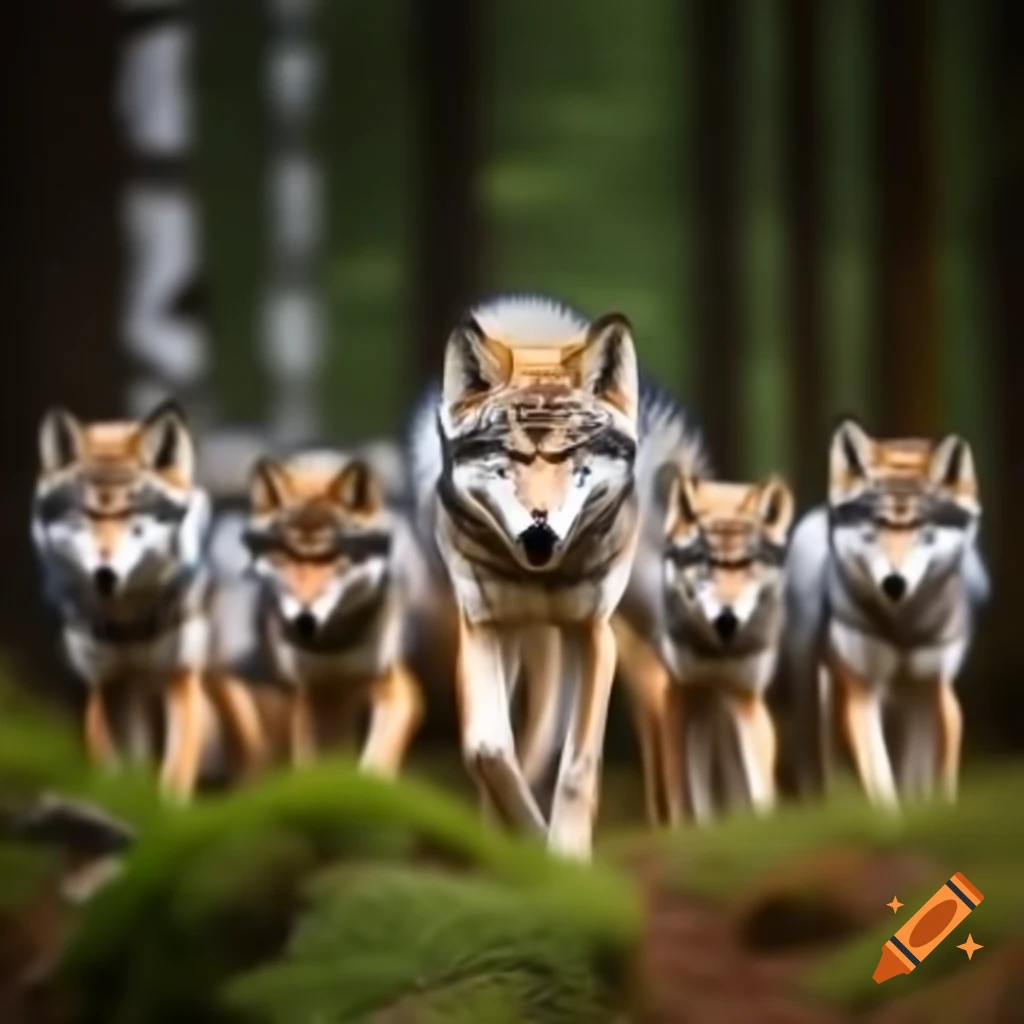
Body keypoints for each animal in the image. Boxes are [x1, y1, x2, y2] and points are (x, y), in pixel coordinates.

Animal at [30, 400, 265, 801]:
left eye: (130, 514)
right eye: (87, 515)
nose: (104, 574)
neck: (128, 624)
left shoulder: (179, 677)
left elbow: (174, 773)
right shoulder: (110, 683)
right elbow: (122, 769)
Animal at [237, 446, 425, 775]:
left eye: (332, 557)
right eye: (285, 556)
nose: (304, 618)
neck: (333, 648)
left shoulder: (397, 689)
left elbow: (375, 763)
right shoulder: (314, 698)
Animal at [407, 293, 642, 859]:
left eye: (572, 457)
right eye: (509, 458)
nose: (540, 535)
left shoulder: (595, 634)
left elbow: (577, 767)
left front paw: (568, 856)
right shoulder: (481, 628)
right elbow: (488, 750)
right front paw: (530, 845)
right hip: (508, 644)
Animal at [615, 463, 795, 826]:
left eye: (748, 564)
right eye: (705, 562)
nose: (727, 618)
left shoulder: (744, 695)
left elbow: (758, 782)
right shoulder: (680, 694)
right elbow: (683, 787)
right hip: (650, 695)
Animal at [782, 416, 989, 808]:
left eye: (923, 530)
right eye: (875, 527)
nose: (894, 583)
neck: (903, 629)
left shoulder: (932, 690)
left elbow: (925, 780)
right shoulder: (862, 692)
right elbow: (880, 780)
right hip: (817, 695)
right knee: (816, 761)